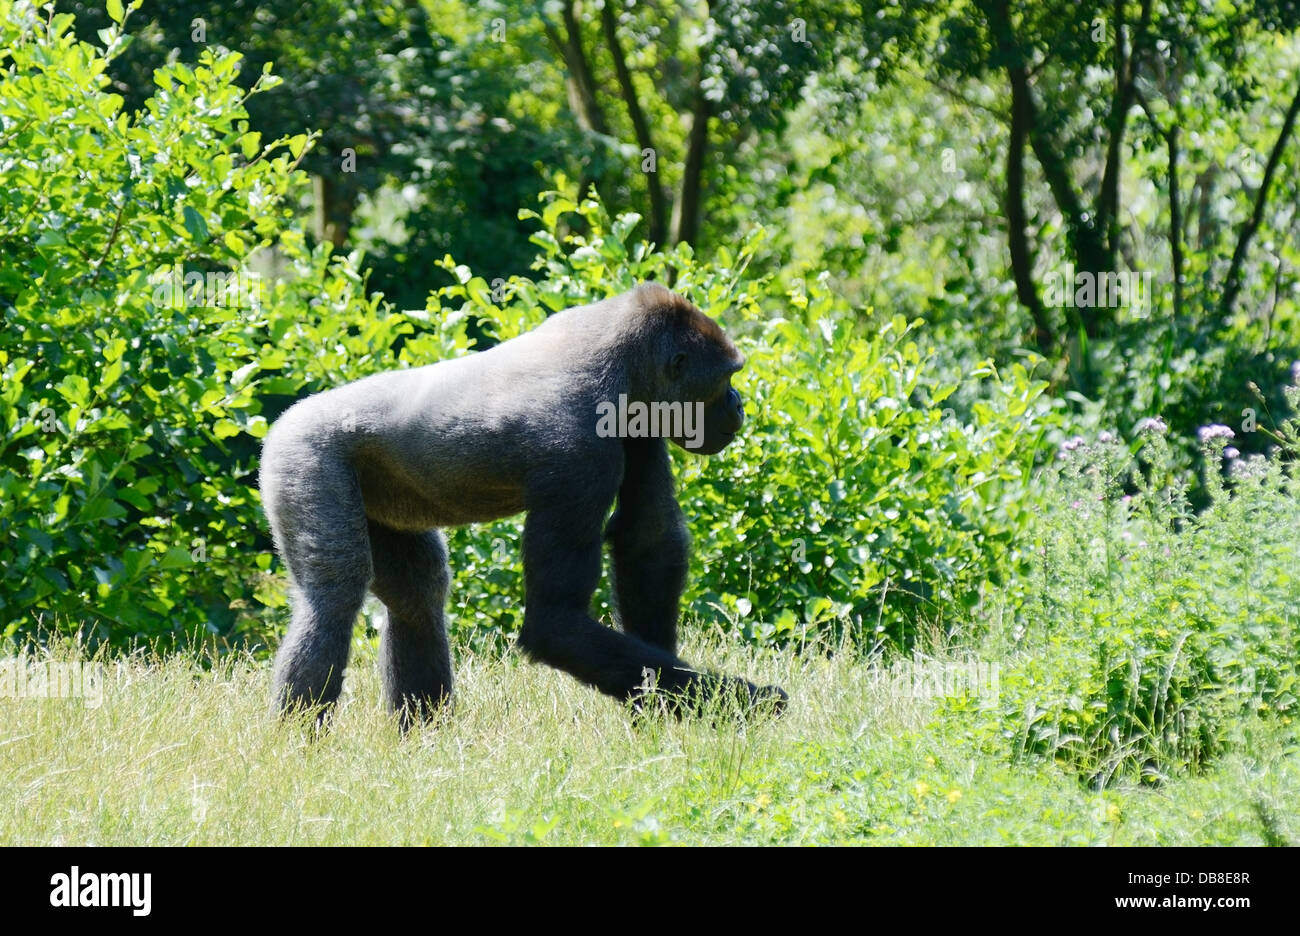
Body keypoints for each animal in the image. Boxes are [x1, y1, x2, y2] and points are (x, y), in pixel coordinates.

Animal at [259, 282, 787, 729]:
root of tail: (287, 417)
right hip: (302, 455)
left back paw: (424, 735)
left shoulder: (641, 417)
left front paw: (659, 707)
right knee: (333, 599)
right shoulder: (580, 453)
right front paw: (741, 702)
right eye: (727, 378)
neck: (615, 353)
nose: (738, 403)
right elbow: (555, 621)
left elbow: (647, 541)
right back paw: (297, 744)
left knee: (417, 595)